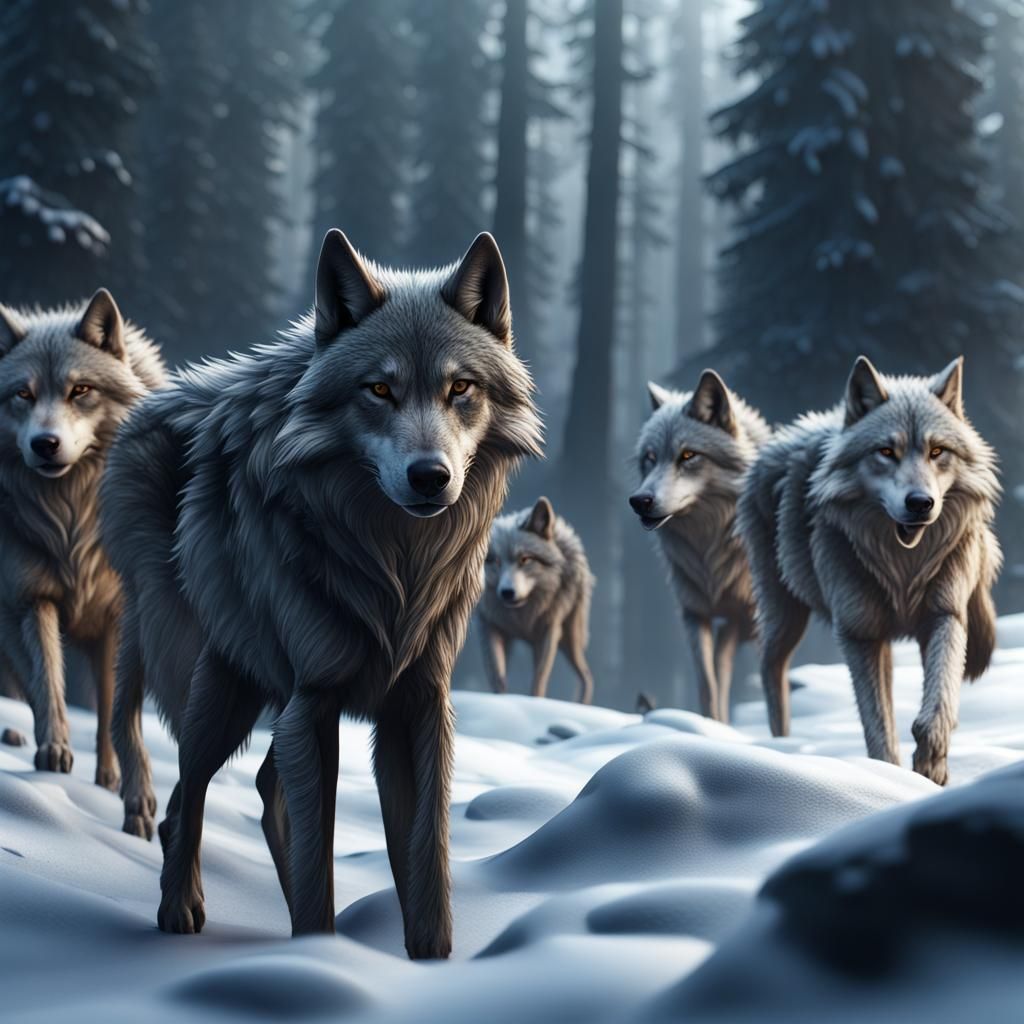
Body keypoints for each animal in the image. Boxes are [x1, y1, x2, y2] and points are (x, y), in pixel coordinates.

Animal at [0, 291, 165, 786]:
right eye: (23, 394)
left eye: (81, 391)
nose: (45, 444)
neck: (71, 520)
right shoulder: (30, 599)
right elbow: (46, 682)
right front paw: (53, 749)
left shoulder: (118, 617)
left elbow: (116, 709)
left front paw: (132, 788)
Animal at [104, 230, 542, 958]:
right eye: (379, 390)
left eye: (461, 387)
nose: (430, 476)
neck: (395, 568)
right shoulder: (314, 701)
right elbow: (317, 858)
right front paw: (320, 950)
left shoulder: (419, 701)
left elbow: (427, 852)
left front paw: (426, 961)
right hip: (221, 686)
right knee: (186, 796)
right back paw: (180, 909)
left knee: (262, 785)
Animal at [477, 496, 595, 703]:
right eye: (495, 561)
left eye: (525, 559)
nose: (507, 592)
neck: (521, 617)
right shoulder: (490, 628)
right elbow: (498, 678)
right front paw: (501, 703)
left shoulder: (548, 631)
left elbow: (539, 679)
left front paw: (535, 703)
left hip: (570, 639)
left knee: (586, 675)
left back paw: (582, 705)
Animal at [629, 370, 770, 722]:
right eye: (650, 458)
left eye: (688, 455)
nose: (639, 501)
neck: (711, 551)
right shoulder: (695, 615)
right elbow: (708, 687)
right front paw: (710, 726)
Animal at [738, 356, 1000, 785]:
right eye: (886, 451)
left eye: (938, 451)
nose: (920, 503)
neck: (902, 567)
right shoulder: (859, 633)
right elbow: (876, 723)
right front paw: (888, 776)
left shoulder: (944, 615)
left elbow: (940, 700)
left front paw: (931, 765)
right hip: (785, 616)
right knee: (769, 669)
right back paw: (780, 745)